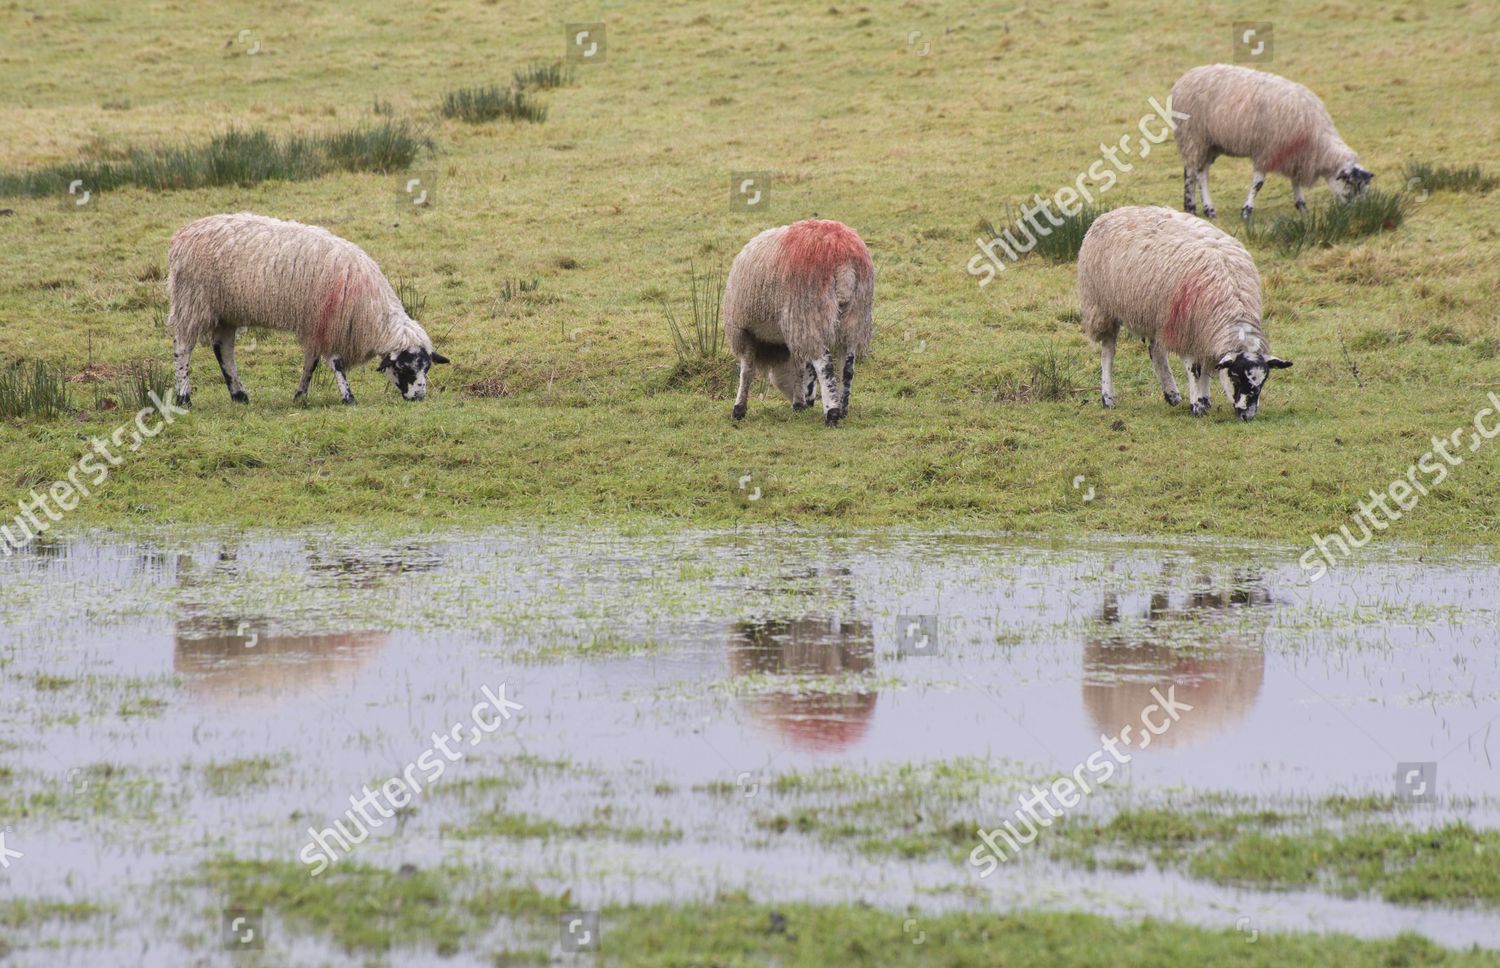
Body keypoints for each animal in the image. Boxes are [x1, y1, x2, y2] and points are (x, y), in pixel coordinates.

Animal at [166, 213, 449, 407]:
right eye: (403, 368)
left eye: (426, 368)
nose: (419, 397)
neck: (369, 308)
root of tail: (182, 234)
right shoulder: (327, 321)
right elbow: (335, 362)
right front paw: (348, 397)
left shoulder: (316, 325)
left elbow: (311, 362)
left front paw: (300, 395)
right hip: (193, 301)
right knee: (183, 348)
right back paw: (184, 397)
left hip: (226, 310)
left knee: (223, 349)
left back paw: (239, 395)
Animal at [723, 219, 874, 426]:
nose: (810, 402)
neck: (777, 344)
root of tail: (843, 258)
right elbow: (800, 367)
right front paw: (799, 402)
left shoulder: (744, 330)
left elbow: (747, 369)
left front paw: (739, 409)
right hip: (855, 314)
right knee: (848, 365)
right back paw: (843, 408)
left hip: (810, 314)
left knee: (825, 364)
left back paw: (832, 413)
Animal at [1077, 206, 1291, 421]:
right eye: (1236, 377)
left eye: (1263, 382)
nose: (1247, 416)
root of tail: (1114, 211)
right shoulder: (1185, 328)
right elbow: (1194, 369)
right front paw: (1197, 405)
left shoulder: (1203, 333)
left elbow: (1206, 367)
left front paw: (1204, 400)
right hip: (1102, 307)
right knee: (1108, 351)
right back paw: (1108, 397)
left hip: (1157, 314)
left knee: (1156, 351)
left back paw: (1172, 394)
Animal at [1171, 64, 1372, 220]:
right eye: (1353, 186)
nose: (1361, 212)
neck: (1318, 141)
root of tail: (1183, 79)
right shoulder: (1267, 151)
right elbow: (1258, 183)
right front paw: (1246, 211)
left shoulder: (1295, 155)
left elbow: (1295, 180)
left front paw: (1302, 205)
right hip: (1194, 137)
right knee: (1197, 173)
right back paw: (1203, 209)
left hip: (1210, 143)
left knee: (1195, 171)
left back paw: (1196, 208)